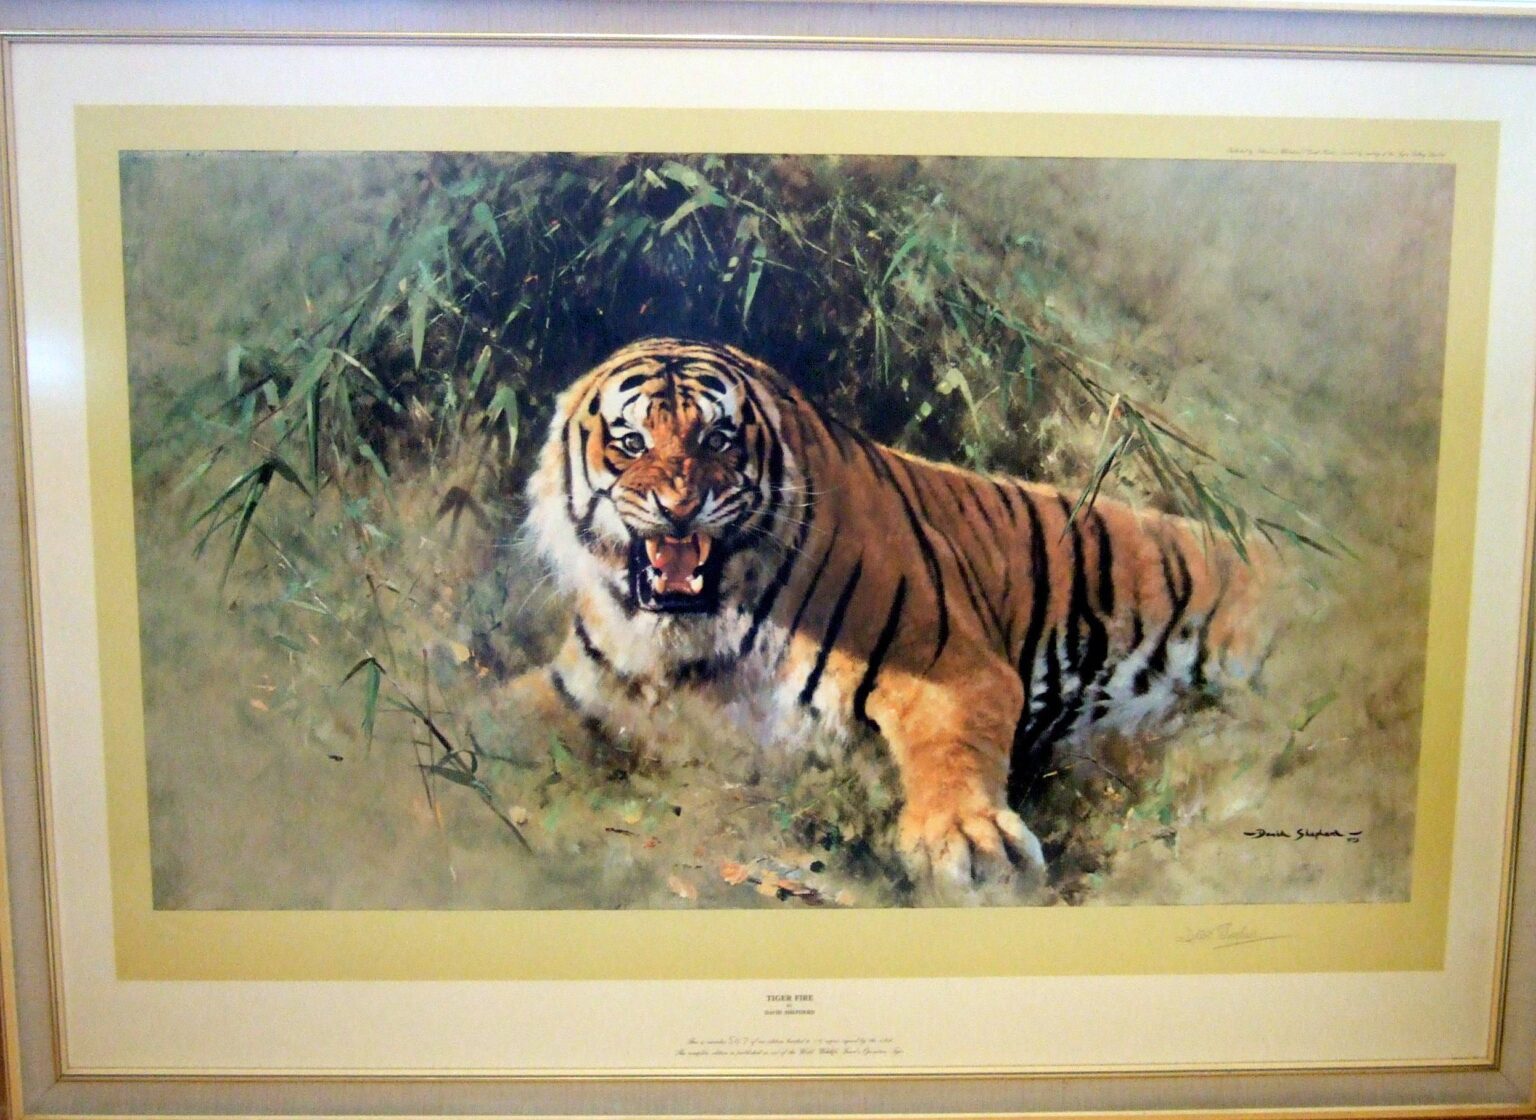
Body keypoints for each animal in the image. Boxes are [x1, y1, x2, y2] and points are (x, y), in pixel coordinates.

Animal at [519, 337, 1269, 894]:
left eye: (719, 440)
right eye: (632, 443)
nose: (679, 507)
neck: (697, 636)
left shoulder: (953, 668)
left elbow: (951, 751)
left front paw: (970, 842)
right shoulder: (579, 687)